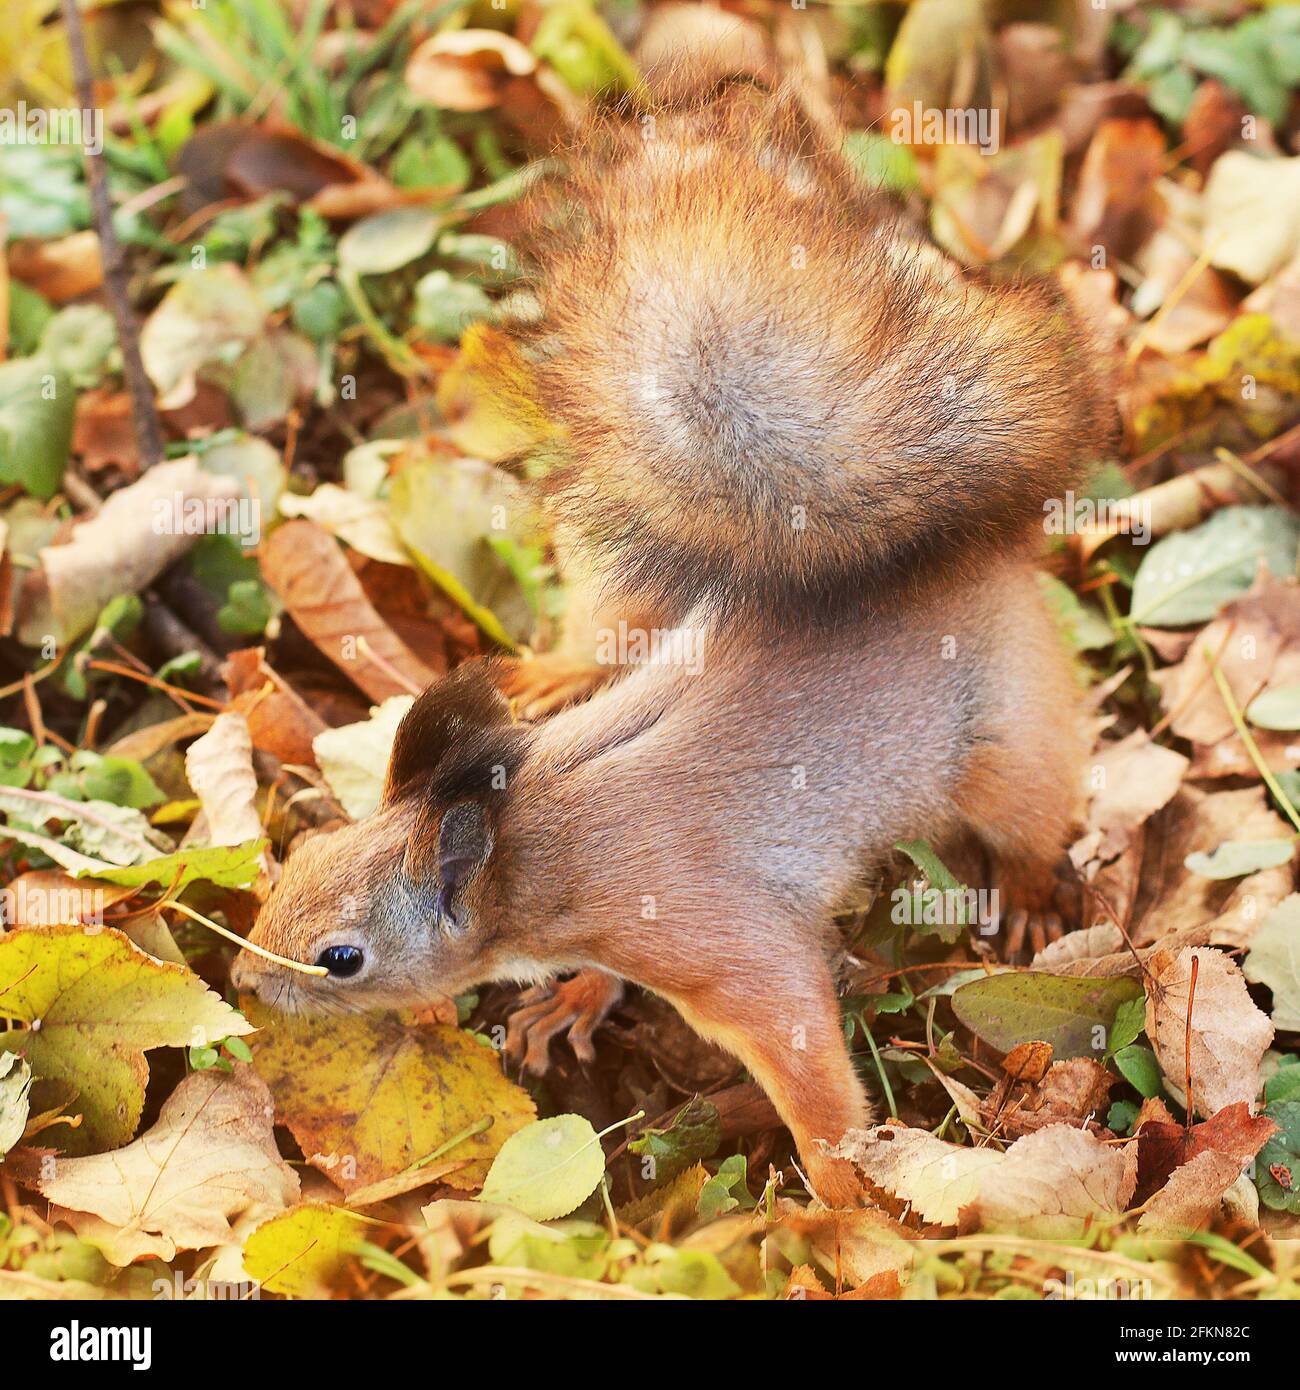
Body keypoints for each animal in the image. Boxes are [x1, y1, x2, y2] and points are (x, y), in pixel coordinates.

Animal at [232, 81, 1112, 1207]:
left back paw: (1038, 896)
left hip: (1010, 738)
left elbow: (805, 1062)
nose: (244, 979)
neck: (532, 837)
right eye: (301, 854)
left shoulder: (710, 932)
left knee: (1033, 813)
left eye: (342, 958)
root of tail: (959, 557)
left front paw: (837, 1201)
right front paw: (573, 999)